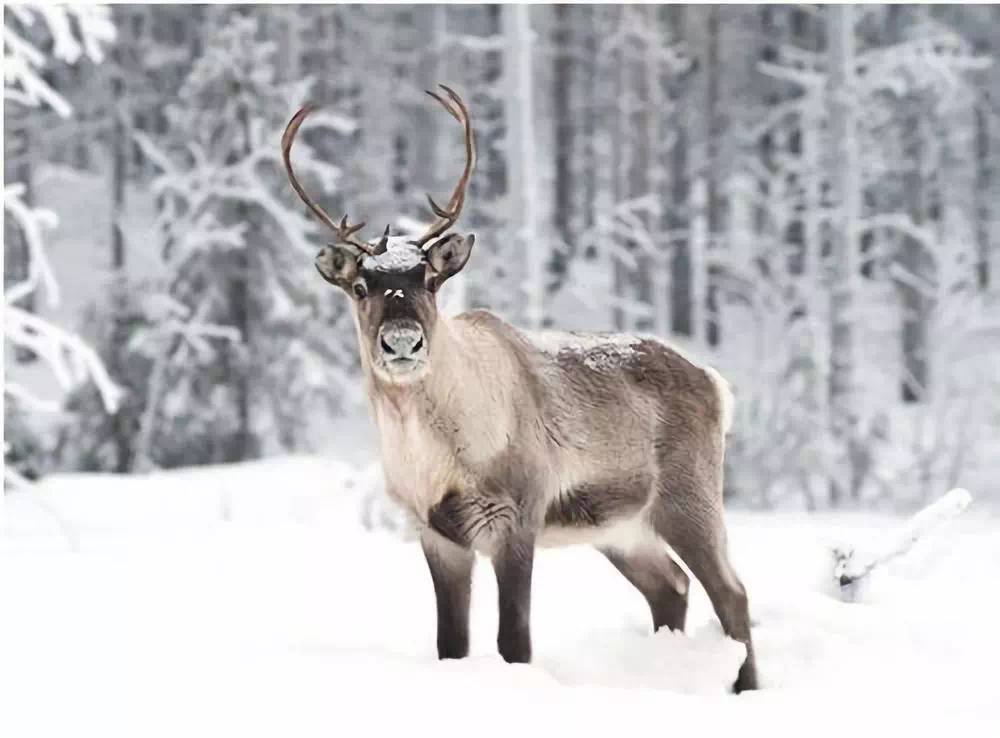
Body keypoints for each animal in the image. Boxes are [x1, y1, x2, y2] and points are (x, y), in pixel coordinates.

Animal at [281, 84, 759, 693]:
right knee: (671, 586)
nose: (402, 342)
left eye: (430, 280)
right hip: (622, 528)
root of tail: (716, 384)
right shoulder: (435, 533)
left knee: (732, 593)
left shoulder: (515, 517)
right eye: (361, 286)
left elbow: (515, 643)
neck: (436, 454)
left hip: (689, 498)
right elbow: (451, 645)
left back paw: (744, 686)